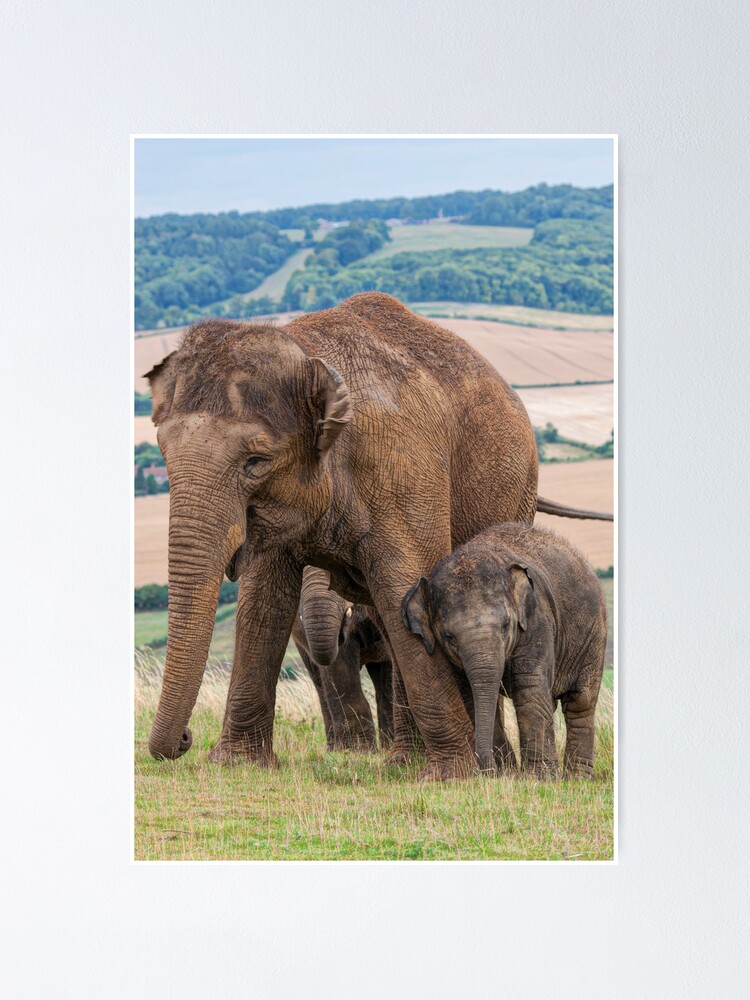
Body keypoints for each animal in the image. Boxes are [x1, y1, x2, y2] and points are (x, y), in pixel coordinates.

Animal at [402, 522, 607, 778]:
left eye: (506, 625)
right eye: (449, 637)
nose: (486, 770)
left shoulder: (536, 621)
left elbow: (529, 687)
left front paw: (537, 779)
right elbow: (470, 694)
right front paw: (506, 773)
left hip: (594, 633)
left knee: (580, 701)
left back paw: (577, 778)